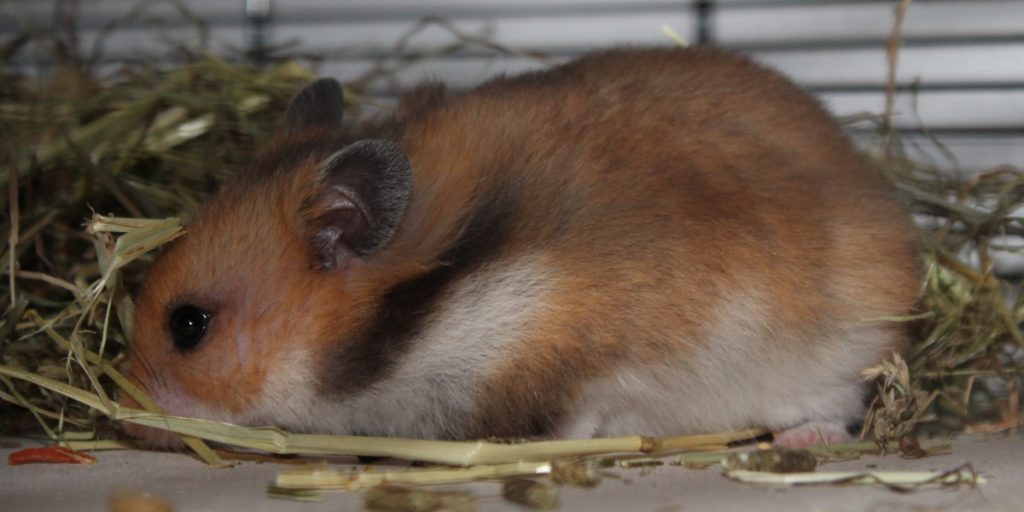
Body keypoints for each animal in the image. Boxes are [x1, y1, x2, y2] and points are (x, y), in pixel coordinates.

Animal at [120, 47, 920, 449]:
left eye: (189, 326)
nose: (127, 416)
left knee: (833, 407)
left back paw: (801, 443)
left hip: (829, 358)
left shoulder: (587, 358)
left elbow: (582, 414)